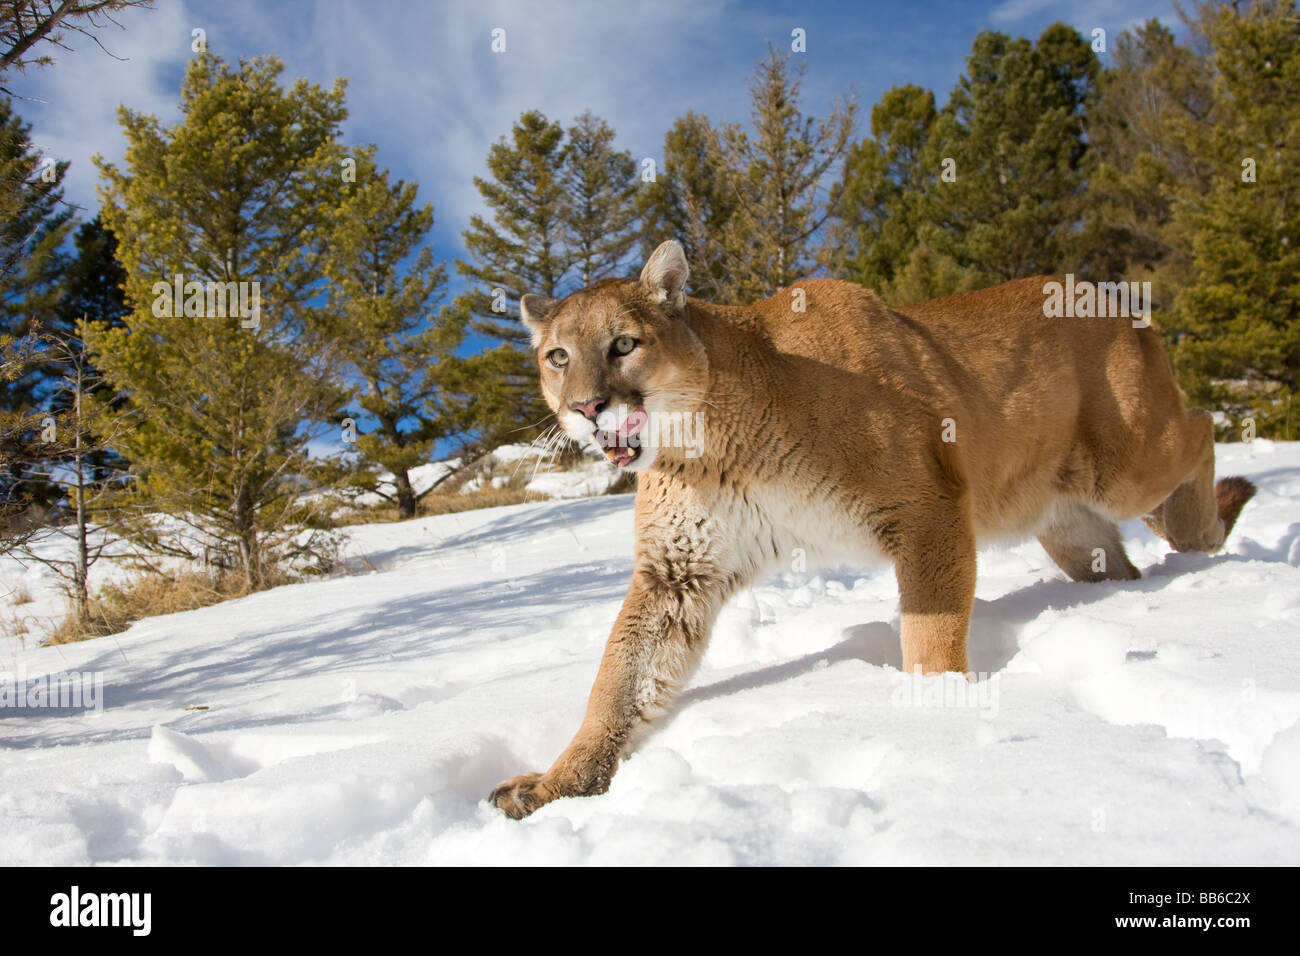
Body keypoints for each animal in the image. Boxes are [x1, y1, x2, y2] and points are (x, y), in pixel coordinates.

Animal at [489, 239, 1256, 819]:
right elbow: (620, 679)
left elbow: (930, 631)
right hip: (1068, 524)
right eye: (557, 357)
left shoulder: (927, 507)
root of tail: (1110, 298)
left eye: (623, 344)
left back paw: (1220, 522)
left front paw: (937, 716)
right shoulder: (679, 571)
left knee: (1199, 430)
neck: (710, 442)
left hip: (1124, 461)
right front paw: (561, 783)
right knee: (1116, 556)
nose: (587, 407)